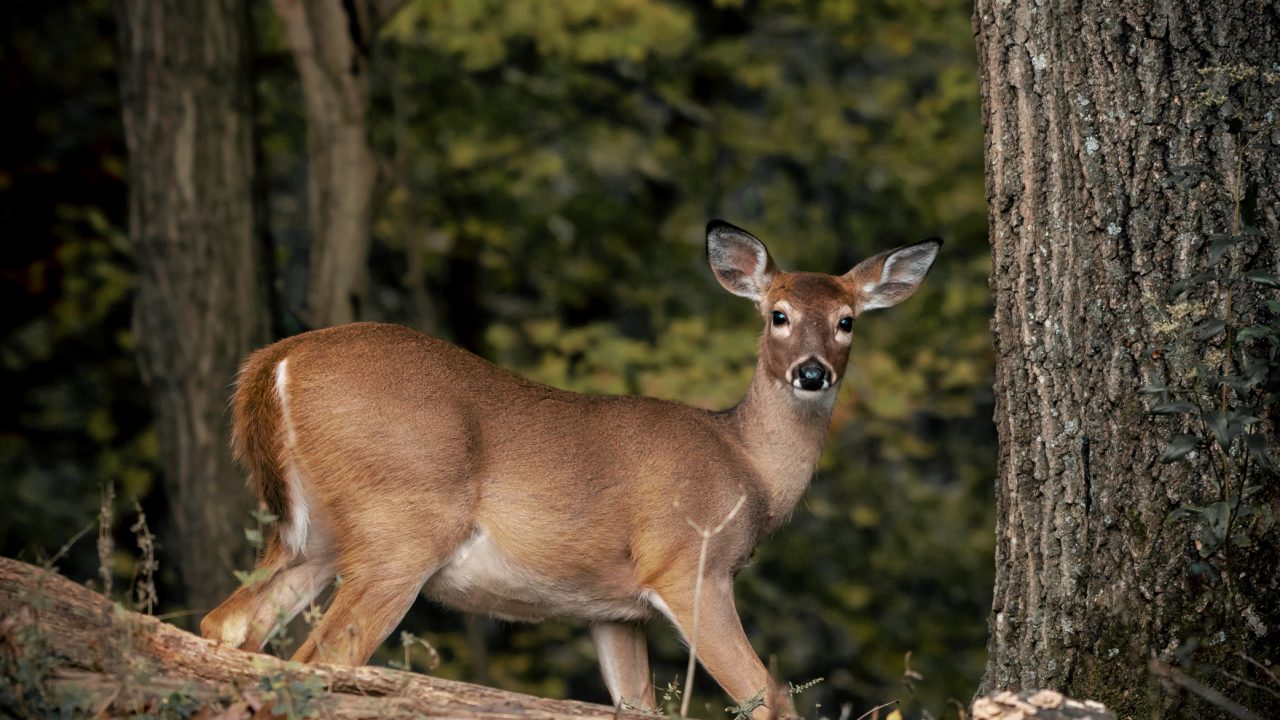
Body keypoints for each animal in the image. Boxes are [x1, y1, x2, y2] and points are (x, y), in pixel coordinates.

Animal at [199, 220, 940, 719]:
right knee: (317, 660)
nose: (812, 372)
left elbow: (638, 705)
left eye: (847, 321)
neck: (747, 466)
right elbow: (769, 696)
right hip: (400, 528)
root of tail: (274, 362)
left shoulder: (615, 610)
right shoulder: (687, 563)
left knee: (229, 628)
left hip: (312, 534)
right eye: (777, 314)